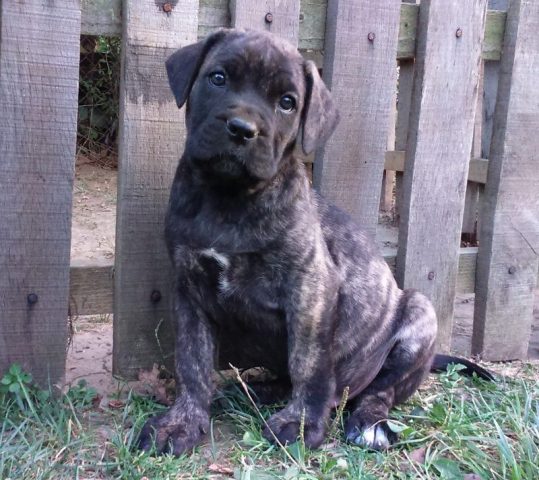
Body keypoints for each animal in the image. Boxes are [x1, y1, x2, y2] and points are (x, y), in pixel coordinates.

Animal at [137, 28, 492, 456]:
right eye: (218, 78)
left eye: (287, 103)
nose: (242, 129)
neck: (230, 199)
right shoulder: (190, 291)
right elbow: (192, 361)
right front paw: (181, 422)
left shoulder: (311, 289)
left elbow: (307, 362)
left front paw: (301, 422)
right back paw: (260, 390)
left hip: (419, 314)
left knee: (378, 392)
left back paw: (367, 423)